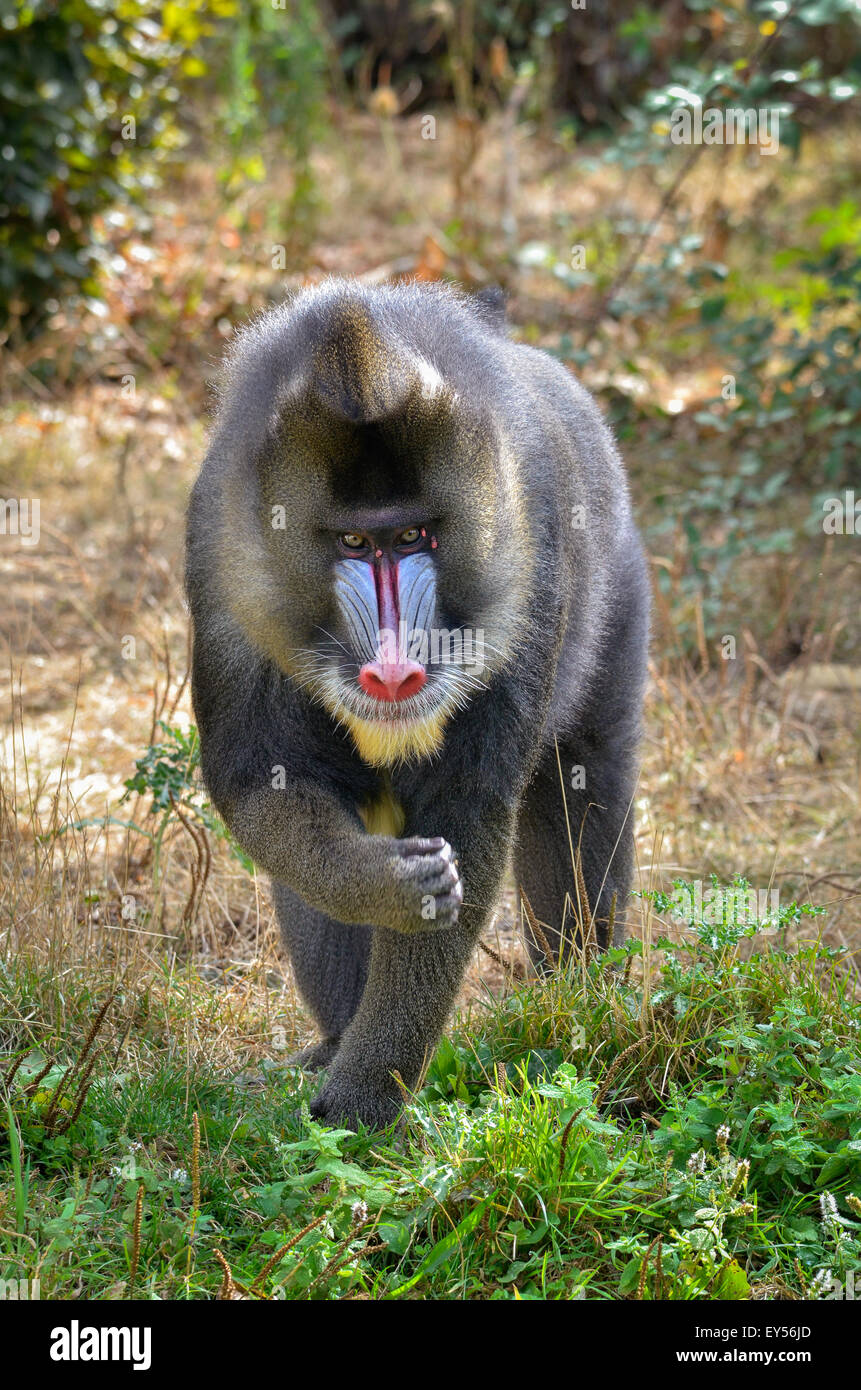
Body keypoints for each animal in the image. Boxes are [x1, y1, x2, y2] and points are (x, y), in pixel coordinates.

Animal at [185, 278, 650, 1130]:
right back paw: (336, 1039)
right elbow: (263, 786)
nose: (394, 674)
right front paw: (392, 888)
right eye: (353, 545)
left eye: (412, 537)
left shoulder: (527, 561)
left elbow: (470, 810)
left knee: (583, 783)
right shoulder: (222, 557)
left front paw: (363, 1102)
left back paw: (581, 1001)